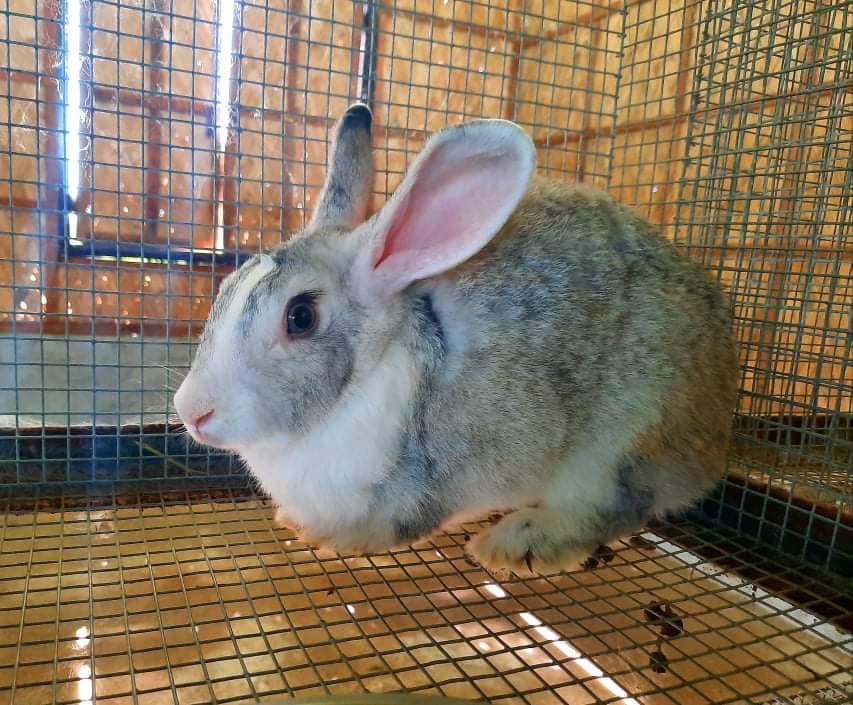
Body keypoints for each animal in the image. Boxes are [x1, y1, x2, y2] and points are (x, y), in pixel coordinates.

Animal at [174, 103, 739, 575]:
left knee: (615, 507)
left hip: (620, 439)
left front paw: (334, 539)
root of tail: (714, 441)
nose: (191, 412)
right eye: (225, 286)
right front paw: (292, 523)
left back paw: (519, 543)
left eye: (300, 317)